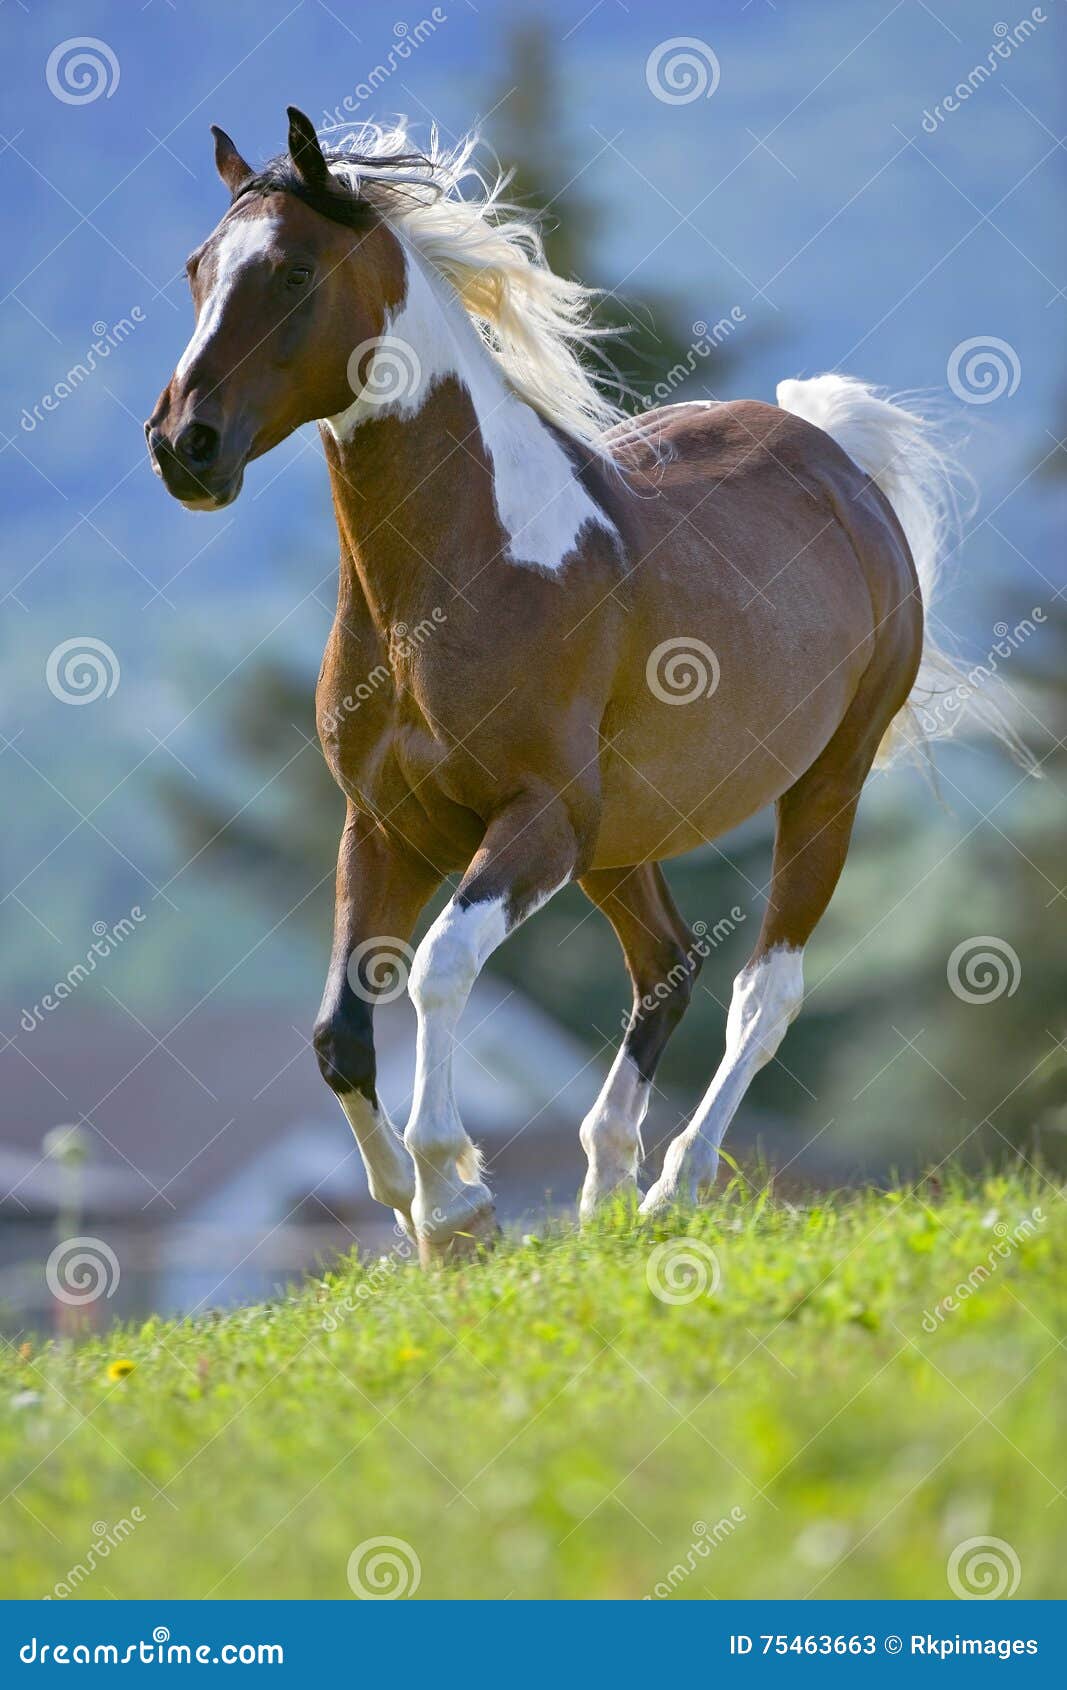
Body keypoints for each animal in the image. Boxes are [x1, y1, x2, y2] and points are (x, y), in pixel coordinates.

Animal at [146, 107, 968, 1265]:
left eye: (295, 271)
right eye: (197, 269)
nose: (184, 445)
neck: (459, 576)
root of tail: (836, 459)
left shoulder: (535, 818)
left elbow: (440, 967)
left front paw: (455, 1199)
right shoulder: (385, 827)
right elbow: (337, 1029)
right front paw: (415, 1211)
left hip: (823, 787)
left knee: (763, 992)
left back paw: (672, 1189)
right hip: (621, 837)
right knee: (667, 961)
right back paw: (601, 1190)